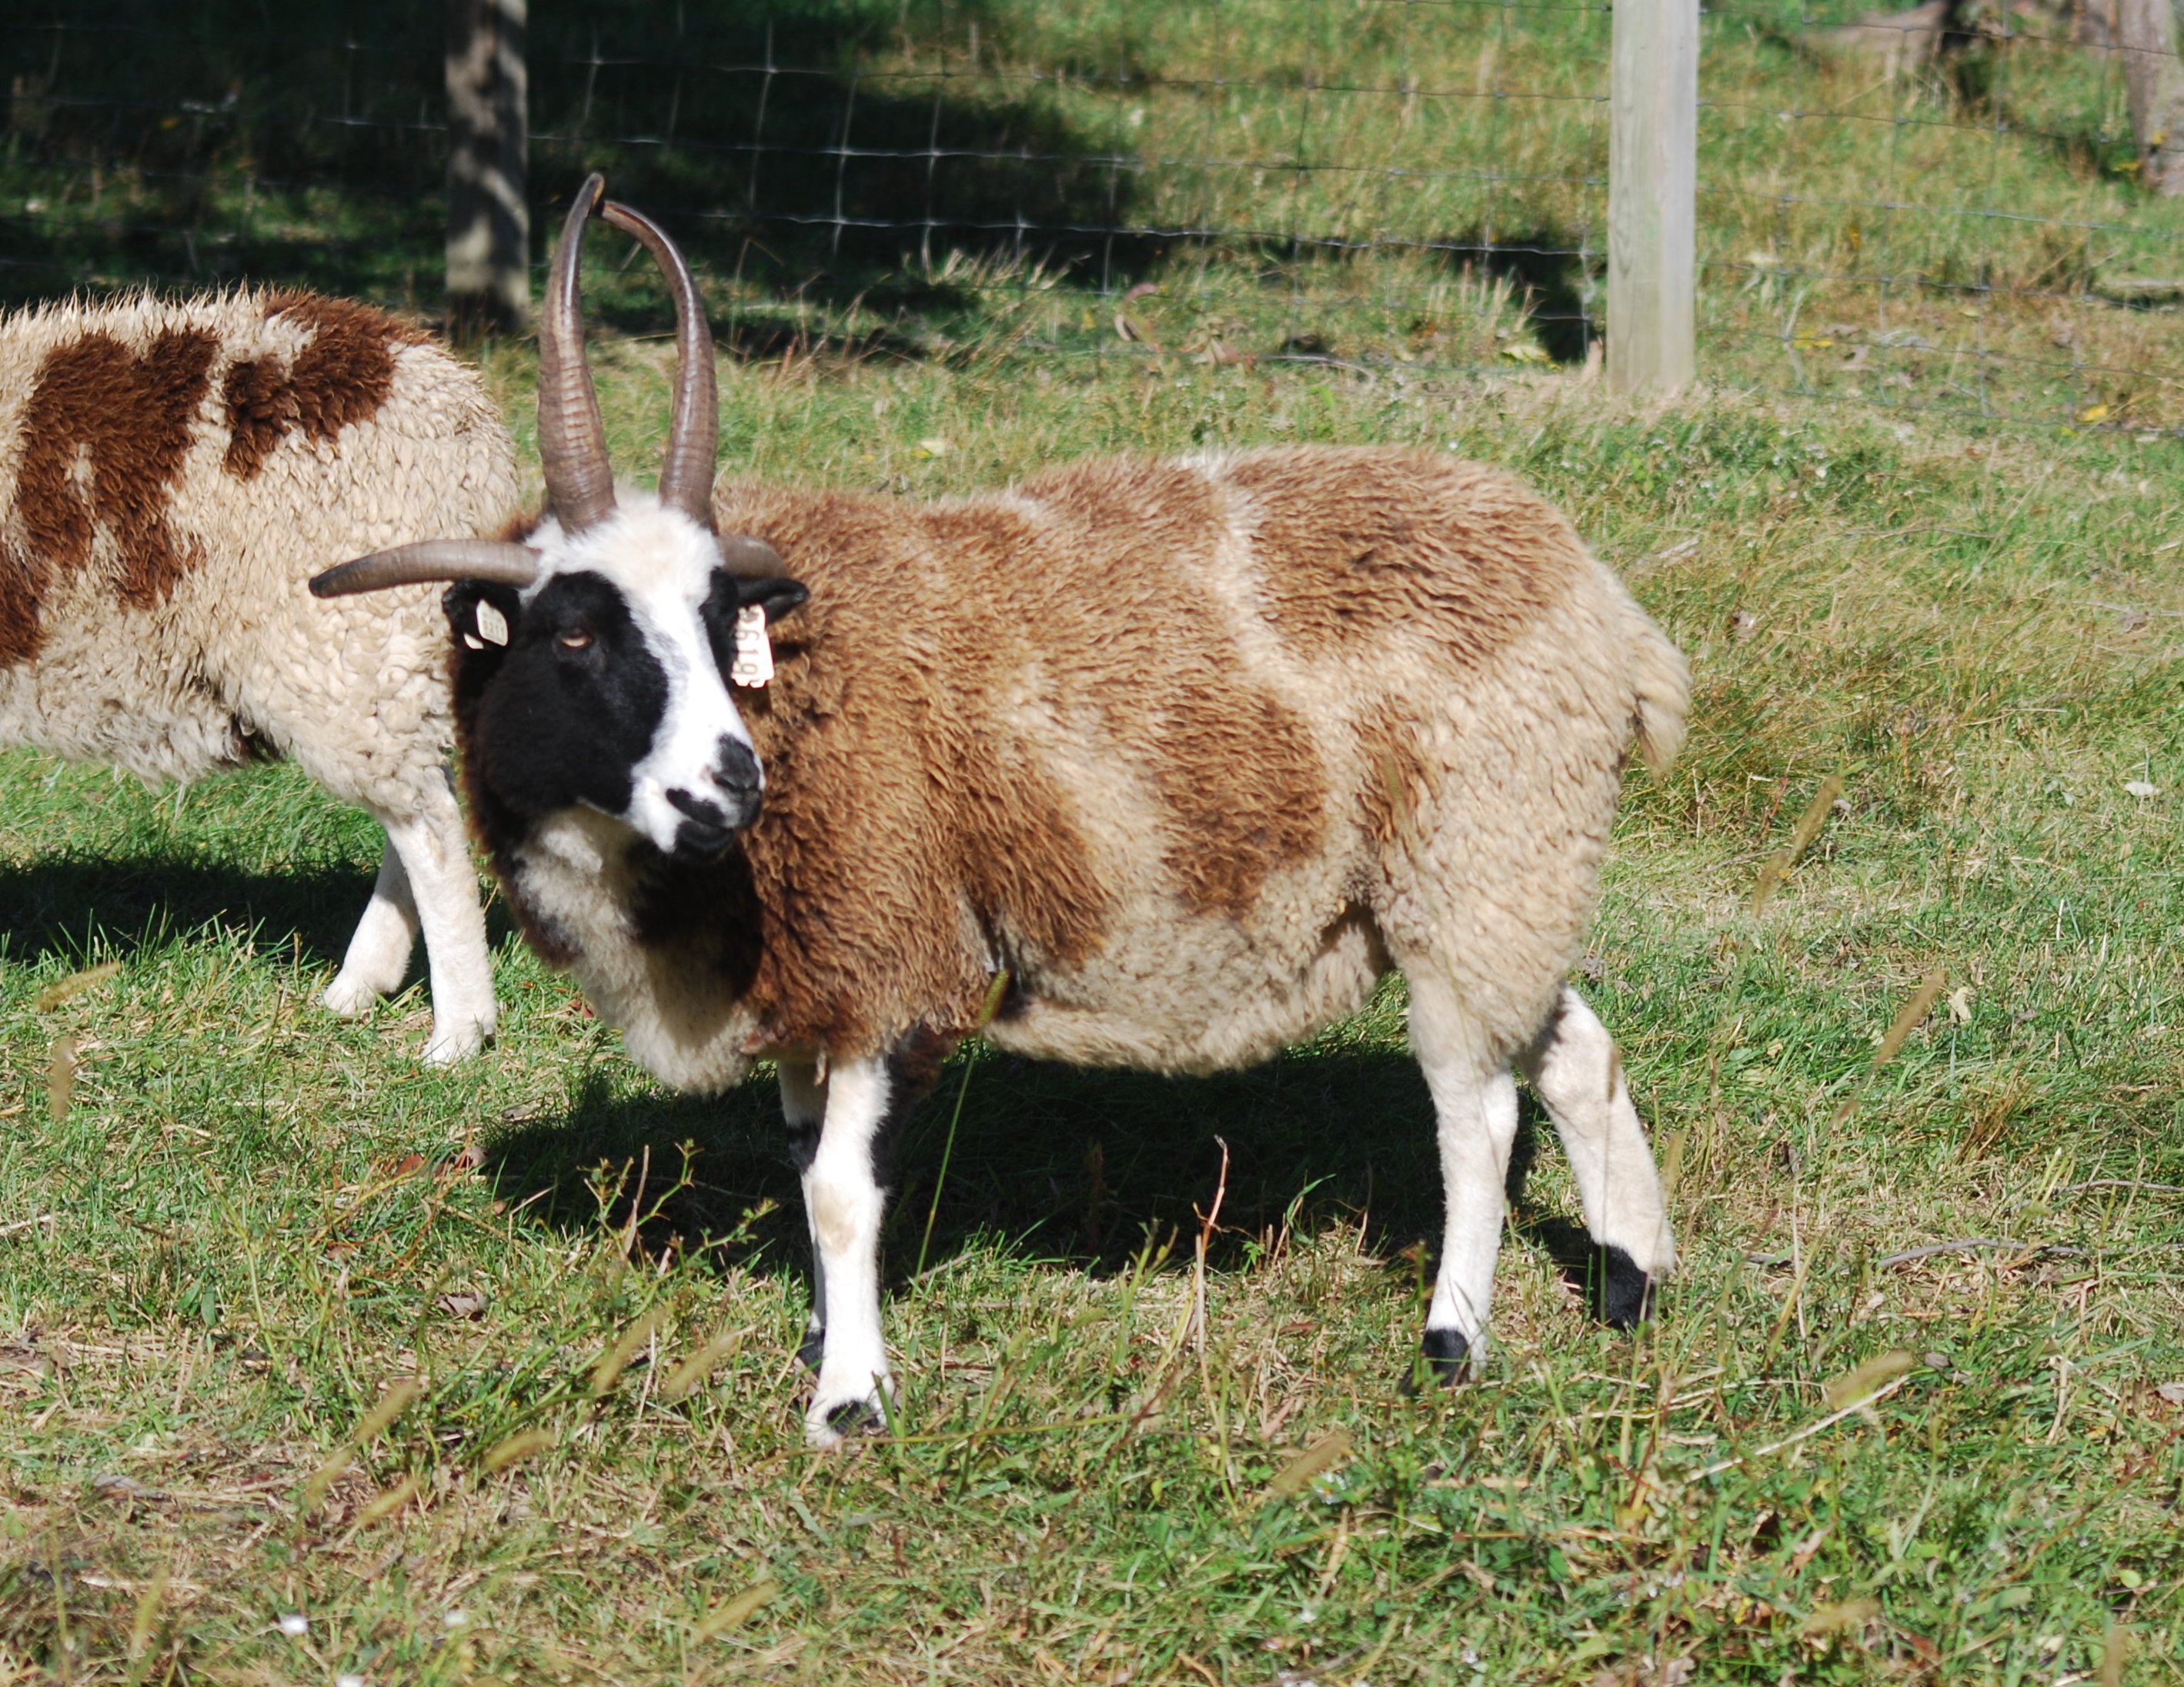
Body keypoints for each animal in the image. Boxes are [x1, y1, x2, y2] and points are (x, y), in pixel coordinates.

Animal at [1, 288, 519, 1063]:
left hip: (347, 645)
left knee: (431, 835)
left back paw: (457, 1033)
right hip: (396, 657)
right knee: (424, 807)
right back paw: (359, 987)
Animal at [316, 175, 1690, 1443]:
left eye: (721, 623)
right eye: (575, 631)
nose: (730, 783)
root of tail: (1609, 613)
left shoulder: (894, 955)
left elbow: (840, 1192)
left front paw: (849, 1398)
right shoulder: (818, 979)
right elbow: (804, 1168)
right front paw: (824, 1328)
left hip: (1473, 864)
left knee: (1477, 1109)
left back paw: (1455, 1336)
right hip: (1502, 878)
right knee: (1572, 1049)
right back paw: (1629, 1283)